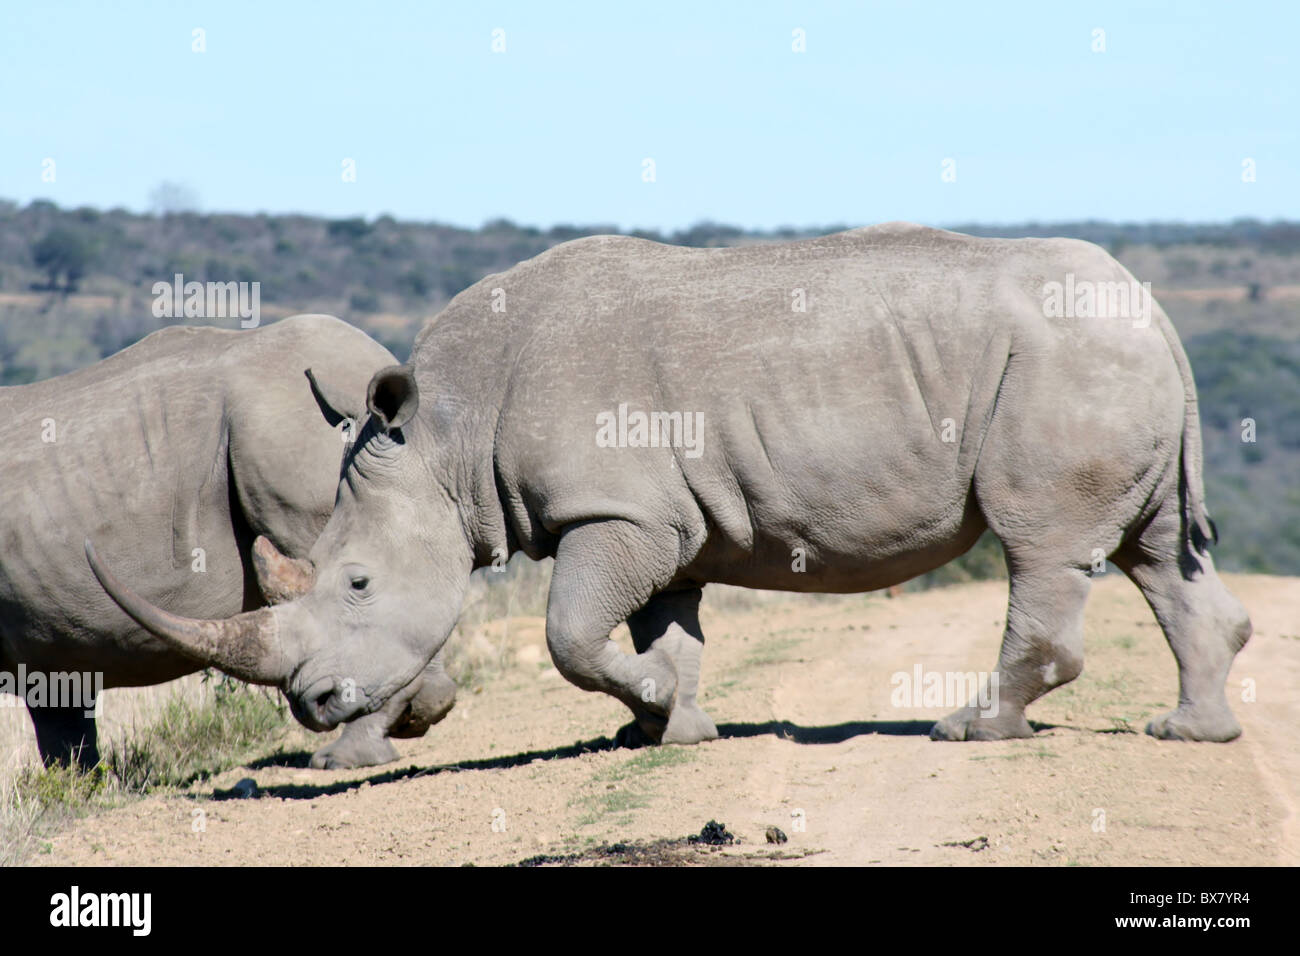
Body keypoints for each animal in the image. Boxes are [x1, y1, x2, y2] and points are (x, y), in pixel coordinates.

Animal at [88, 224, 1252, 748]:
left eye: (358, 584)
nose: (316, 707)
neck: (443, 440)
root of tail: (1155, 312)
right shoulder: (666, 519)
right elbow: (668, 627)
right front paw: (669, 727)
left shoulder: (618, 511)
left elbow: (569, 632)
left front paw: (647, 707)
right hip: (1102, 361)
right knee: (1154, 550)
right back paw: (1189, 733)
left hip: (1067, 363)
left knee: (1043, 545)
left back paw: (968, 730)